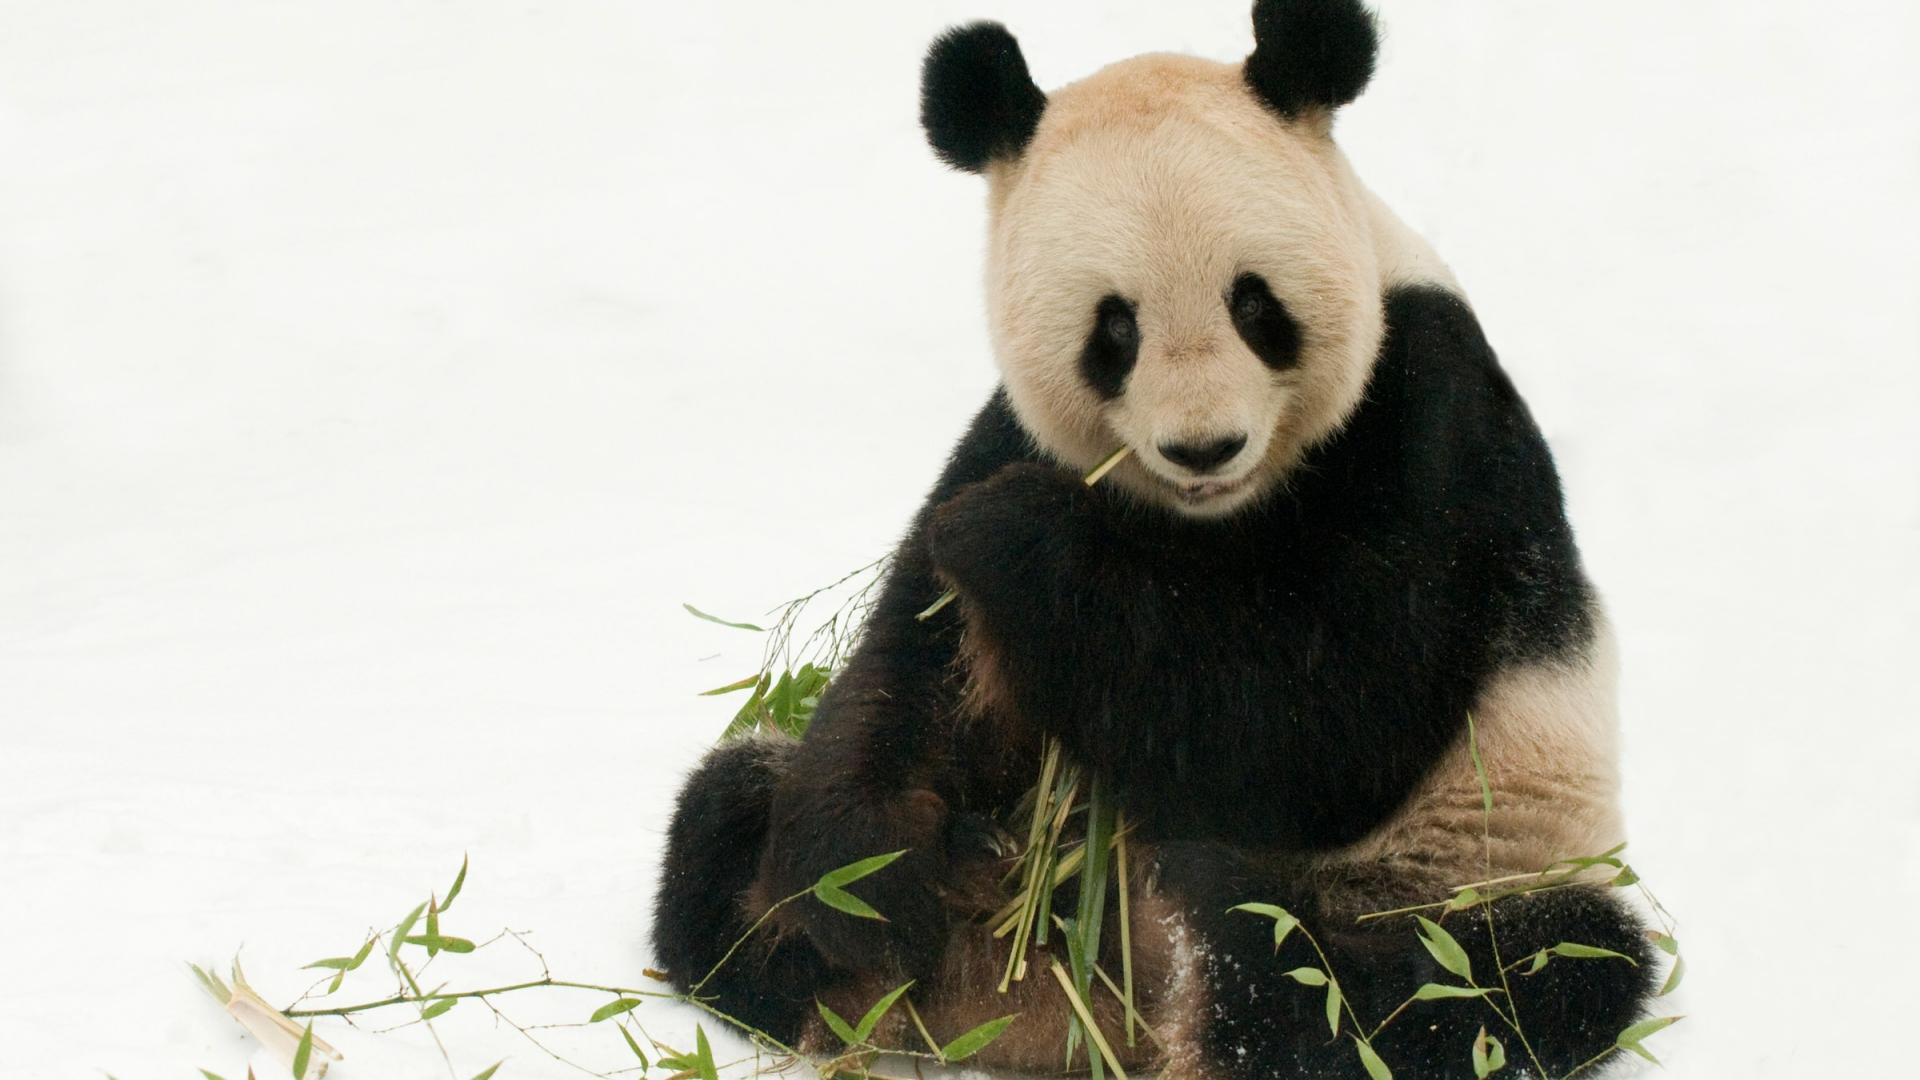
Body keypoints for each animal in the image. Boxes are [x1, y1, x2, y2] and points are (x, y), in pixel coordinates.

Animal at [653, 2, 1658, 1076]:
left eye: (1254, 303)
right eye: (1115, 328)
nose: (1203, 445)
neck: (1209, 513)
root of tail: (1038, 1014)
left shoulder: (1430, 417)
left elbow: (1329, 722)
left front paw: (1019, 536)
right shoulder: (1010, 433)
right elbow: (909, 678)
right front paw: (877, 895)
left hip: (1474, 867)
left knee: (1474, 985)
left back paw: (1197, 930)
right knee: (728, 811)